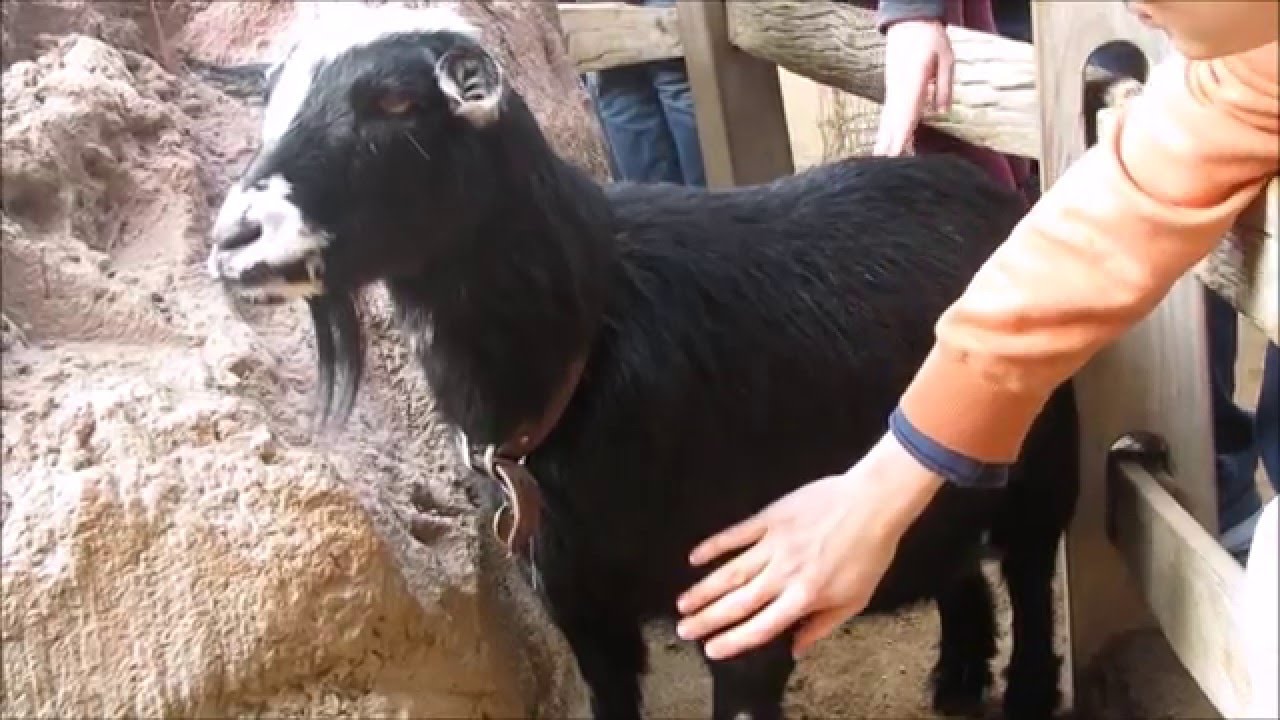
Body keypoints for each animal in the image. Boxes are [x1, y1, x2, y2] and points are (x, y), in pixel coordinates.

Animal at [206, 6, 1079, 719]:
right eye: (271, 101)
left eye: (394, 102)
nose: (236, 238)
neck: (587, 339)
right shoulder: (581, 605)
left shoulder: (746, 588)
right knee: (953, 556)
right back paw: (959, 677)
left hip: (1039, 460)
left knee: (1031, 569)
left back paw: (1027, 695)